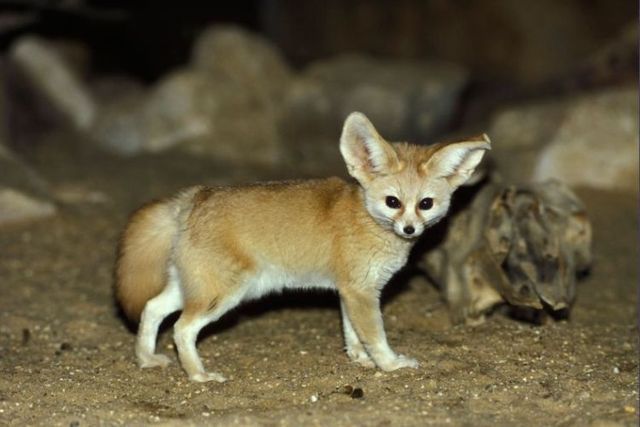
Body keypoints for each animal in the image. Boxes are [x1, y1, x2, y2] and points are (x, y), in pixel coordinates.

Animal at [115, 112, 491, 382]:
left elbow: (352, 333)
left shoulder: (350, 290)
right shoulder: (361, 292)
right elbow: (374, 335)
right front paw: (390, 364)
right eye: (393, 202)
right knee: (181, 329)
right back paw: (199, 376)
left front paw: (360, 359)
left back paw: (146, 358)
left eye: (426, 204)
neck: (365, 217)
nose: (410, 229)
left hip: (194, 288)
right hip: (222, 294)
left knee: (151, 309)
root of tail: (192, 198)